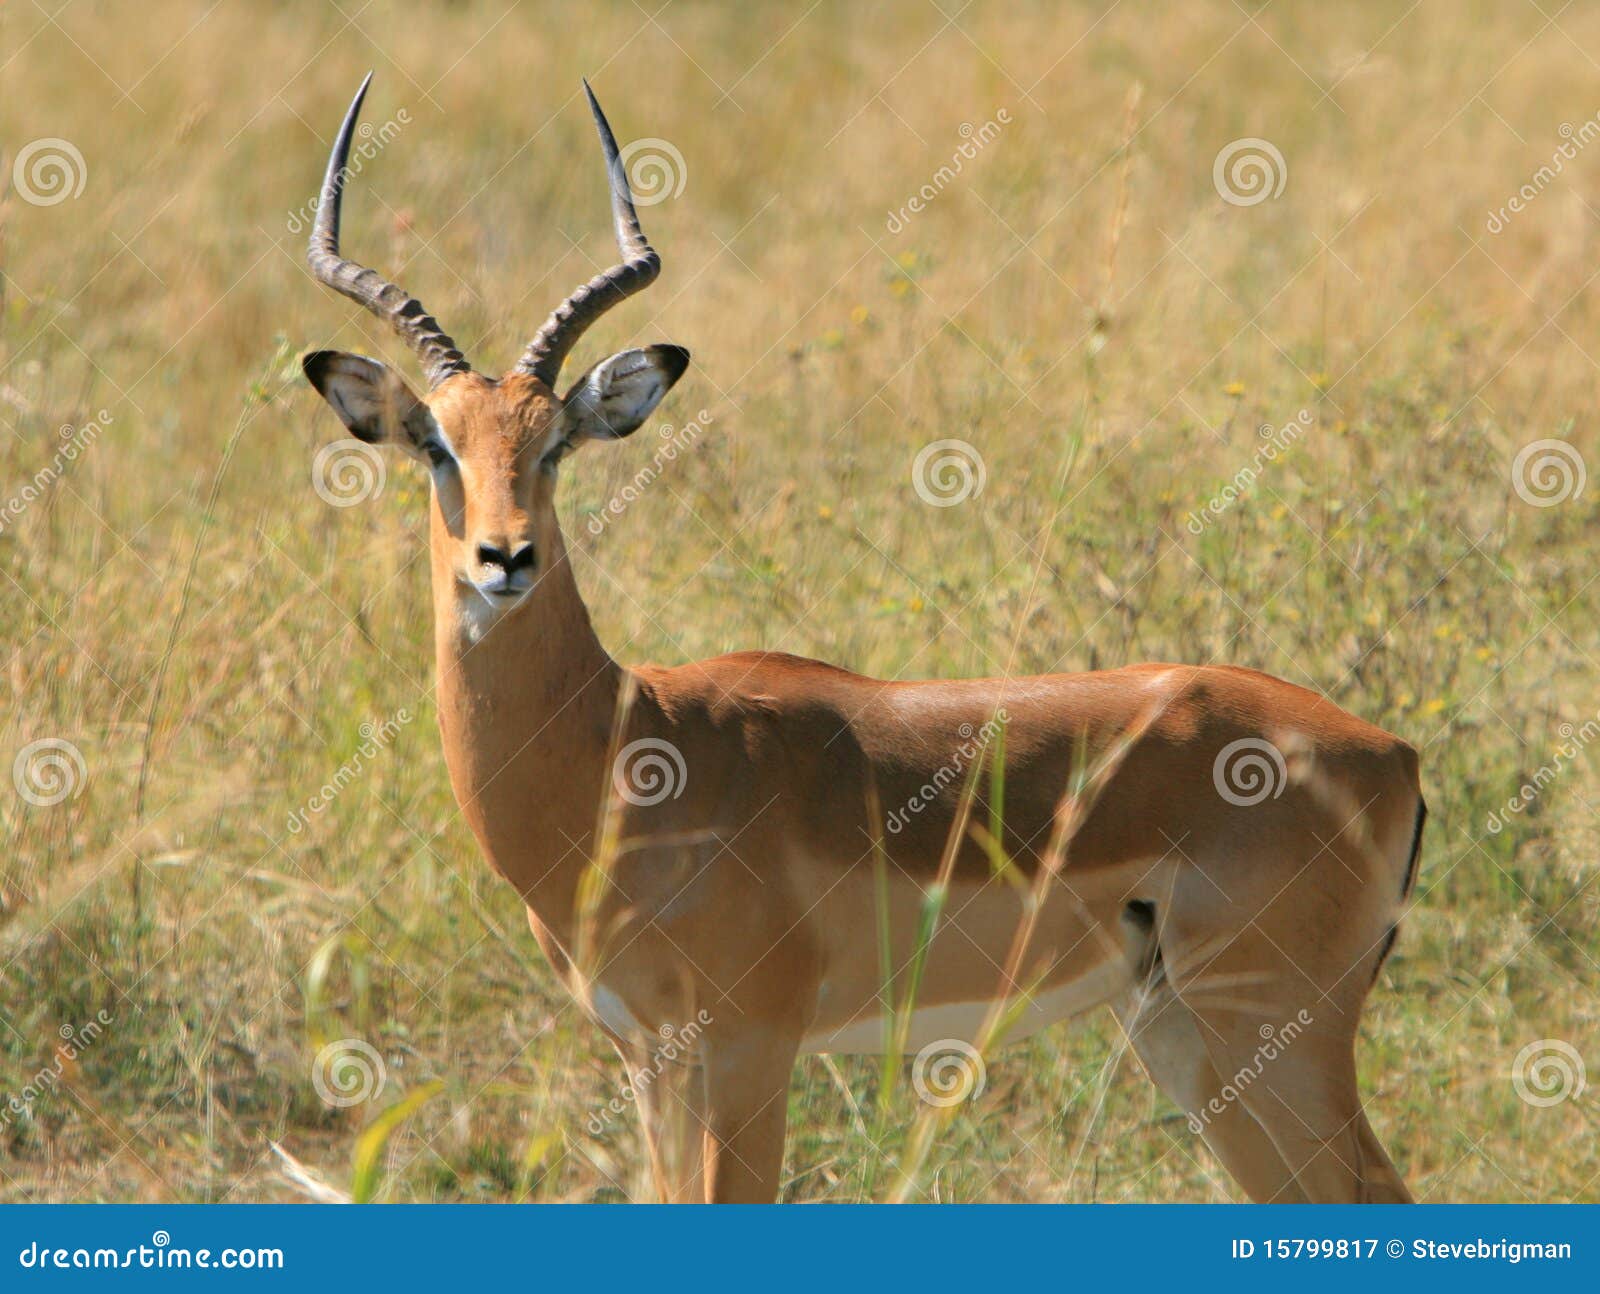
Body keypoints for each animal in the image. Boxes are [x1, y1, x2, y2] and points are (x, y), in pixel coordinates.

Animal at [300, 74, 1425, 1203]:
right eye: (437, 444)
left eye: (555, 444)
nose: (506, 558)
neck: (626, 751)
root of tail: (1394, 754)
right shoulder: (649, 1056)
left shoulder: (749, 1045)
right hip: (1185, 1033)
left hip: (1268, 1028)